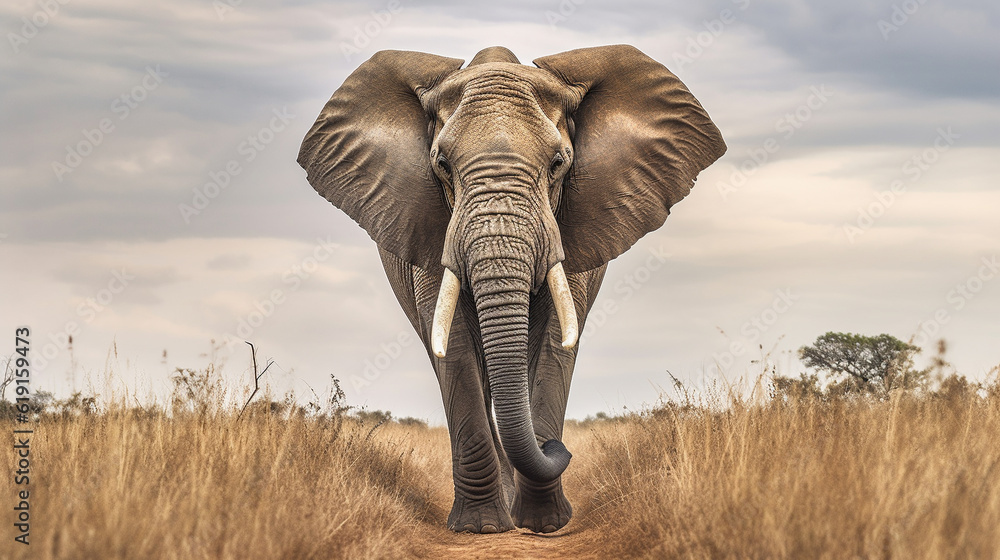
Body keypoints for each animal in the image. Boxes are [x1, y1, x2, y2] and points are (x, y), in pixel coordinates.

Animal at [297, 44, 725, 533]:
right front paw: (481, 528)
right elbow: (456, 348)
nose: (559, 448)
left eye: (559, 163)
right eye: (441, 164)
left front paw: (545, 524)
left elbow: (556, 343)